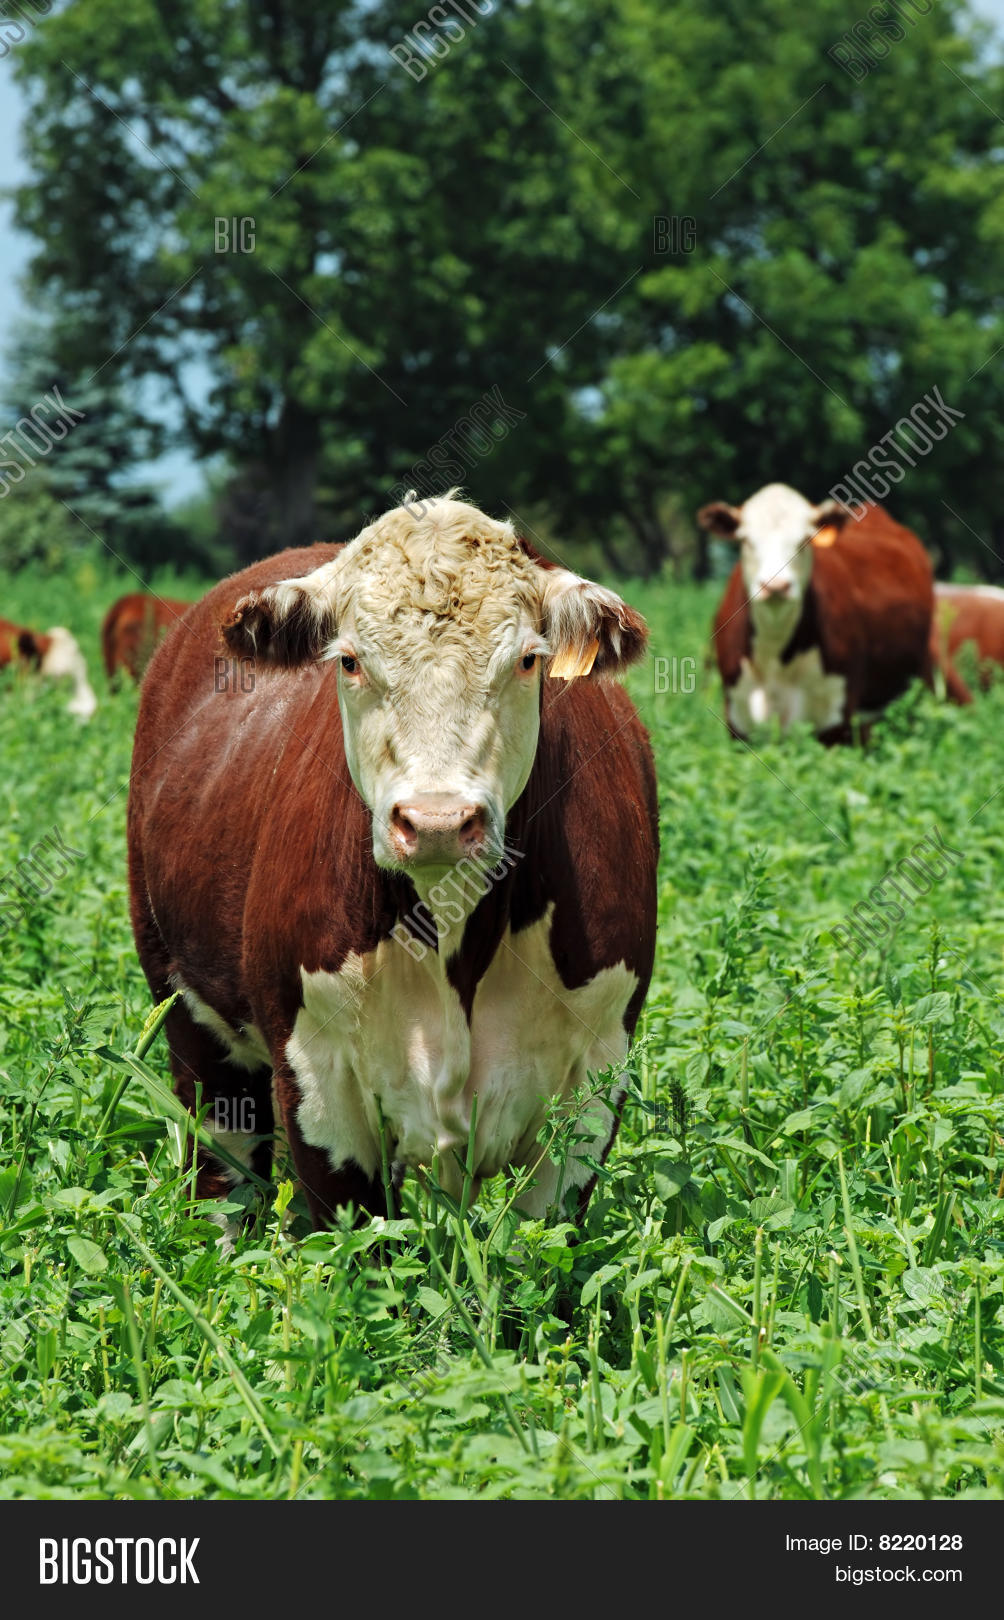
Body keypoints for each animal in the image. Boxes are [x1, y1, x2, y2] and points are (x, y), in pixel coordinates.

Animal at [126, 495, 658, 1233]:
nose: (436, 822)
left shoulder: (594, 1080)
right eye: (349, 661)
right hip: (188, 1017)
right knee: (222, 1177)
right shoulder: (317, 1080)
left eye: (528, 660)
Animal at [699, 484, 933, 744]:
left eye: (803, 540)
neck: (775, 656)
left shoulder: (836, 723)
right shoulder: (738, 721)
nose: (776, 586)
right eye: (746, 540)